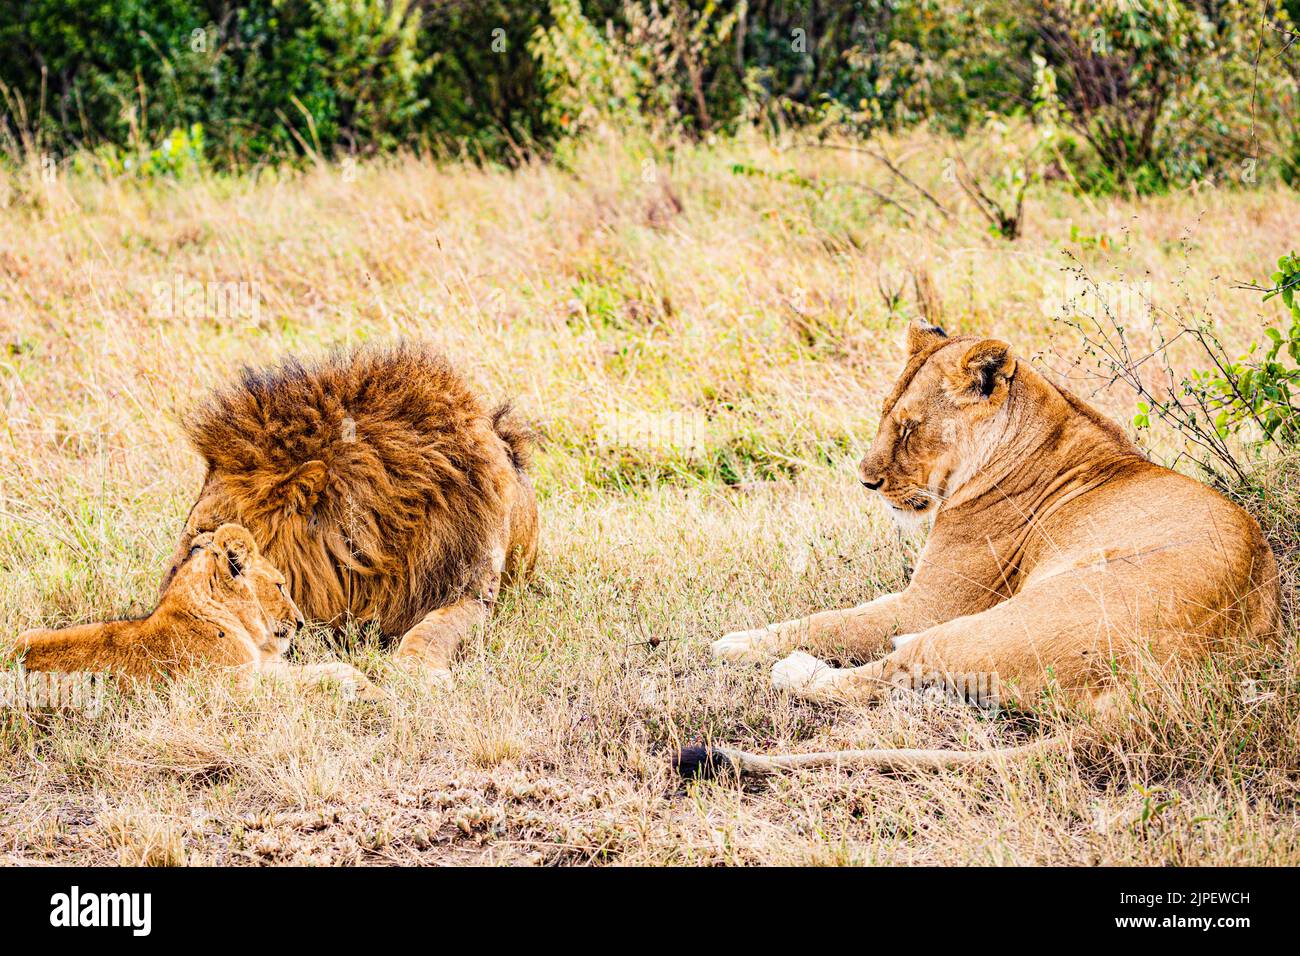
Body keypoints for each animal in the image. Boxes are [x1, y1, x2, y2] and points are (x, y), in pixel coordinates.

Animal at [11, 523, 378, 696]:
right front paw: (361, 687)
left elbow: (321, 669)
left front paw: (360, 679)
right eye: (279, 586)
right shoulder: (237, 691)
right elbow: (306, 685)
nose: (300, 622)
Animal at [680, 322, 1281, 778]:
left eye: (909, 429)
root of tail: (1172, 692)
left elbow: (832, 621)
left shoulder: (932, 604)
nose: (866, 482)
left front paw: (738, 642)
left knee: (883, 672)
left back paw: (795, 671)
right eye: (884, 416)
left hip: (993, 623)